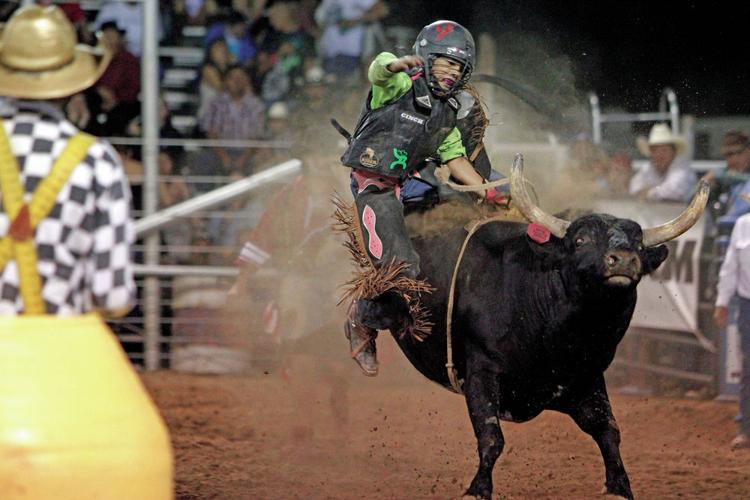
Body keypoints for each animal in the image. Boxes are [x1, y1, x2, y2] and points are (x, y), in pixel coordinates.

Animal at [371, 155, 709, 499]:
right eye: (580, 240)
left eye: (638, 244)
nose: (623, 260)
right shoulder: (481, 373)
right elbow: (491, 437)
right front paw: (477, 489)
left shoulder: (586, 380)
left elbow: (608, 430)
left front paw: (619, 486)